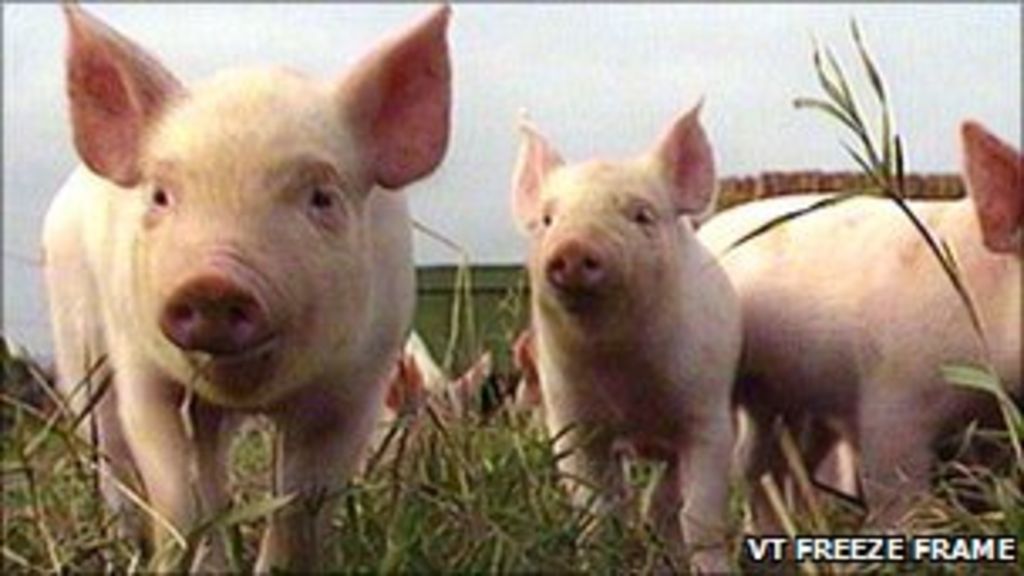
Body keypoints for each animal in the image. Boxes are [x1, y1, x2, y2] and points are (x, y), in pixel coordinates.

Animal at [42, 5, 451, 571]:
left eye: (321, 197)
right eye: (161, 196)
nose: (211, 285)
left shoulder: (357, 383)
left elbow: (302, 502)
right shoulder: (146, 373)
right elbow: (179, 496)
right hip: (77, 343)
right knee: (115, 458)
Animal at [511, 102, 742, 573]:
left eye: (641, 215)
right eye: (547, 219)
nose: (573, 248)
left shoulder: (709, 415)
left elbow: (701, 516)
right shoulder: (571, 420)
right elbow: (595, 510)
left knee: (665, 504)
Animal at [698, 120, 1021, 533]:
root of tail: (707, 229)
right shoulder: (893, 397)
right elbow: (895, 490)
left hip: (797, 403)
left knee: (776, 465)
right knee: (748, 466)